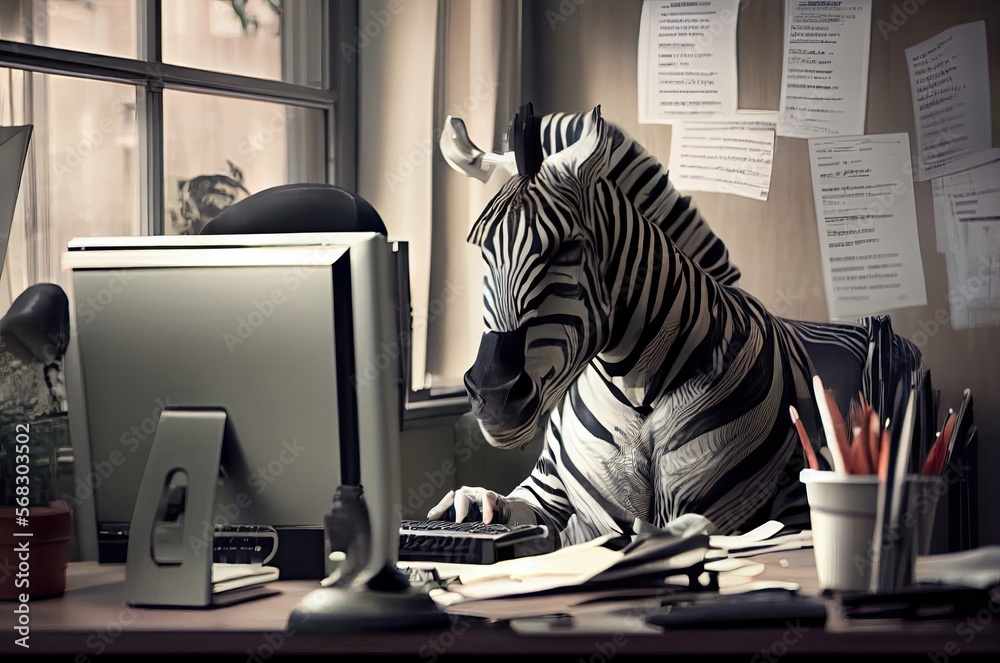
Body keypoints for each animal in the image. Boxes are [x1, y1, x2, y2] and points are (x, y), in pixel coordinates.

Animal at [432, 106, 932, 547]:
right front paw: (468, 505)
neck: (635, 386)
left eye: (568, 249)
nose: (495, 397)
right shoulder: (547, 494)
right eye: (480, 249)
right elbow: (510, 507)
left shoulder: (703, 508)